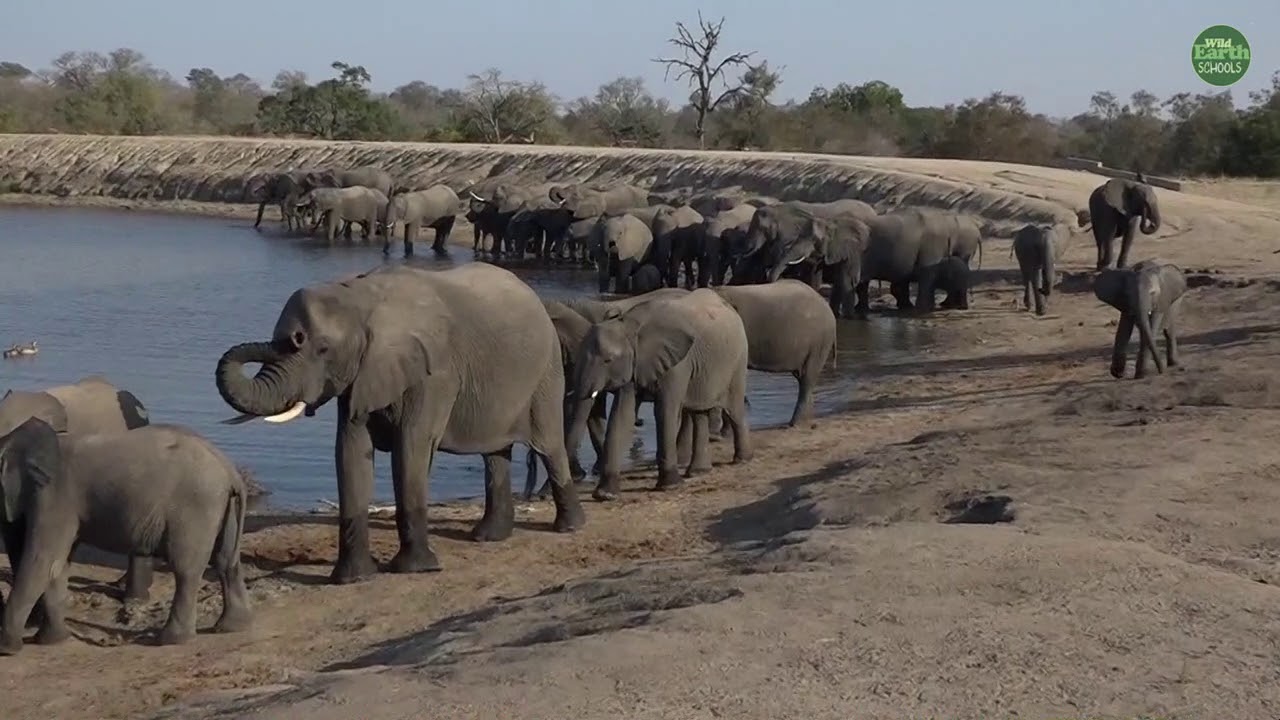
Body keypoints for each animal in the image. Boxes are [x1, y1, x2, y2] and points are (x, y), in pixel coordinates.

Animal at [0, 420, 251, 653]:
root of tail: (230, 471)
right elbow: (58, 564)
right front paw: (52, 640)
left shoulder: (55, 495)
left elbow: (43, 560)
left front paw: (8, 649)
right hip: (222, 507)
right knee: (226, 561)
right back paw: (231, 627)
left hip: (196, 508)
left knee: (185, 569)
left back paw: (171, 640)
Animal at [213, 263, 586, 584]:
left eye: (322, 349)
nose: (294, 337)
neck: (359, 296)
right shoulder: (361, 375)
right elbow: (350, 451)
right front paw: (352, 578)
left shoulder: (434, 373)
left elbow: (411, 446)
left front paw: (416, 569)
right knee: (495, 455)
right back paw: (488, 537)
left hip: (546, 372)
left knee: (549, 445)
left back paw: (569, 528)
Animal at [566, 289, 752, 501]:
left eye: (608, 360)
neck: (629, 325)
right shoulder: (635, 365)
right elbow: (622, 415)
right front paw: (606, 495)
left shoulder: (678, 363)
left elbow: (665, 411)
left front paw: (670, 486)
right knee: (699, 414)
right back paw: (698, 472)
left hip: (737, 360)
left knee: (734, 410)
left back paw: (742, 460)